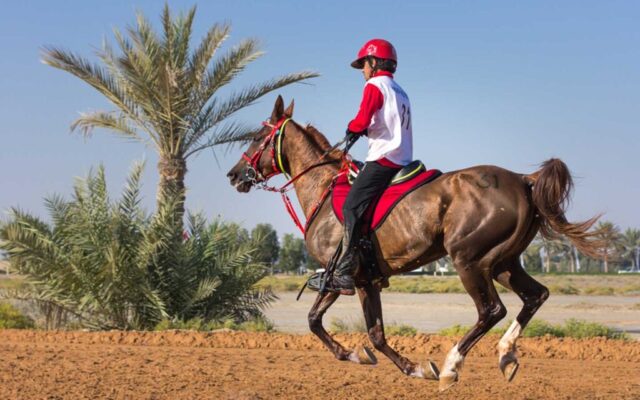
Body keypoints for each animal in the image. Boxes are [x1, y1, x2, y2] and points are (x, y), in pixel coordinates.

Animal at [226, 95, 603, 391]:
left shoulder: (347, 277)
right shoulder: (360, 280)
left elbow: (343, 327)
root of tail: (524, 180)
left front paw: (403, 364)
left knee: (492, 309)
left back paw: (451, 366)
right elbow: (337, 325)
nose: (234, 175)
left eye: (257, 137)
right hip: (503, 263)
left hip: (469, 260)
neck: (323, 186)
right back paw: (506, 354)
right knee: (535, 295)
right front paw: (379, 359)